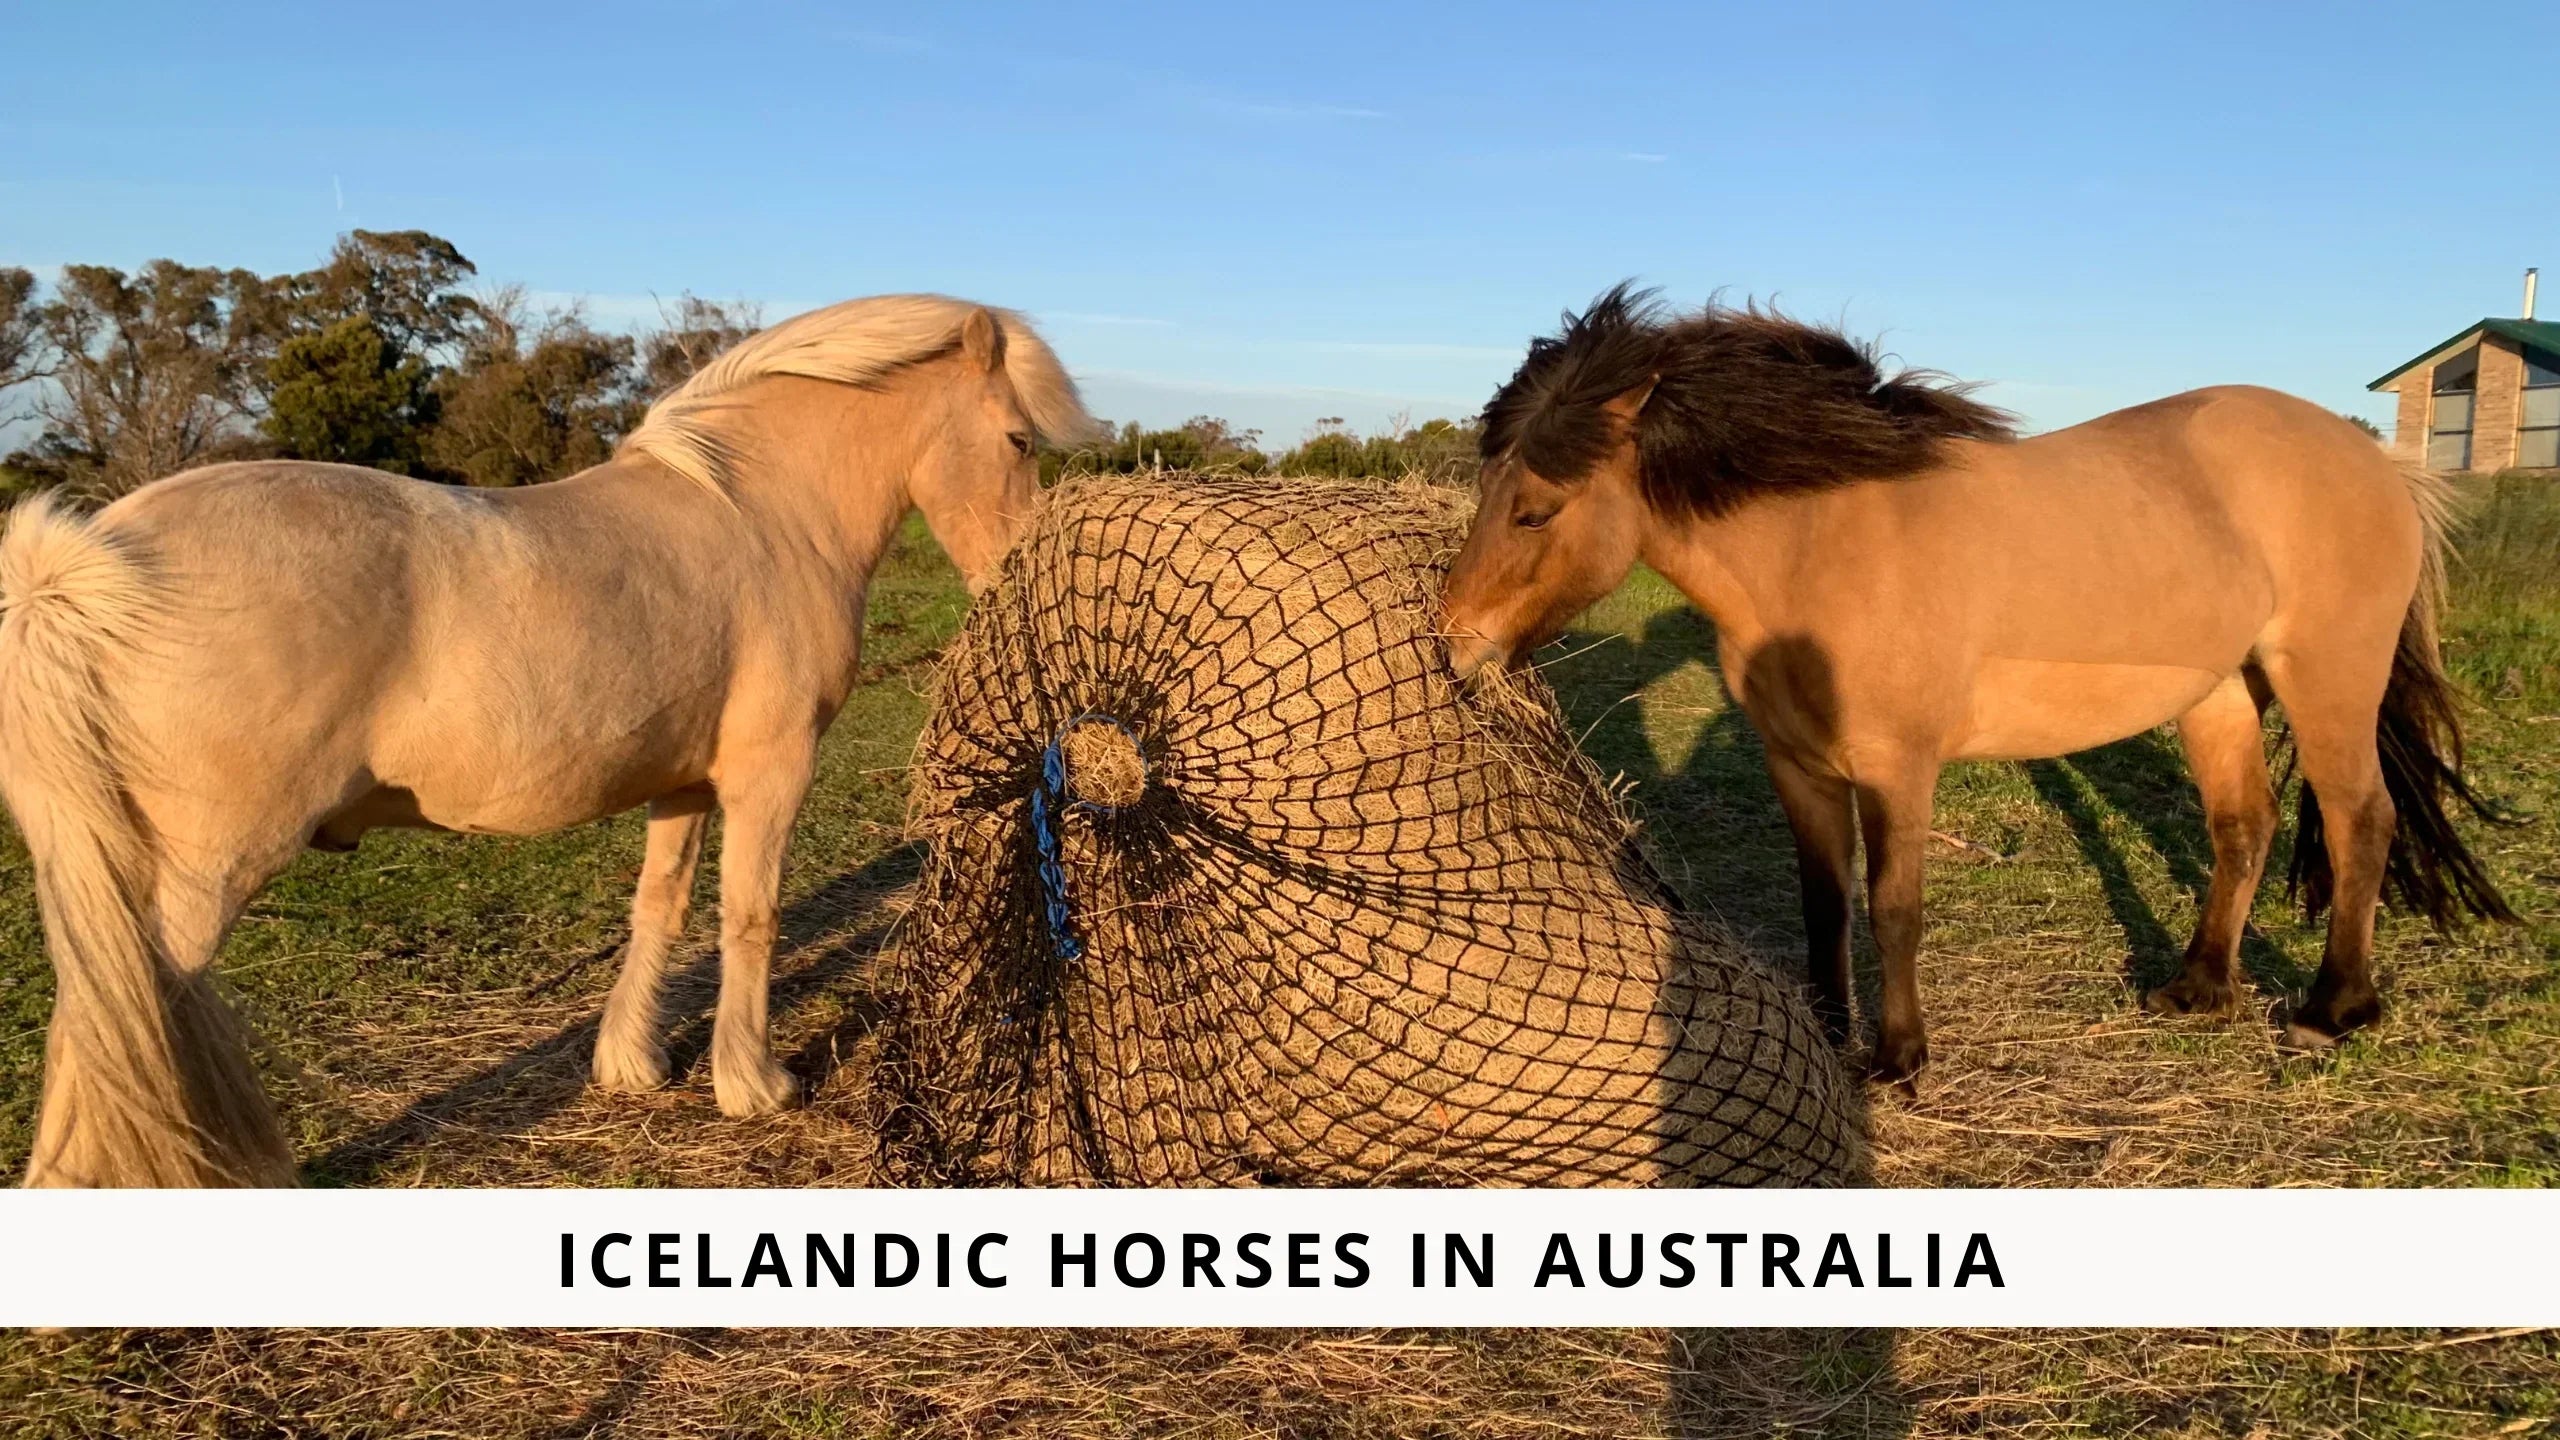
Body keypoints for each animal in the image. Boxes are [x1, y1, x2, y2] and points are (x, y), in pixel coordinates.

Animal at [0, 294, 1096, 1186]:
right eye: (1017, 439)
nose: (1009, 580)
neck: (760, 516)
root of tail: (87, 565)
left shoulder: (684, 784)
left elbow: (660, 908)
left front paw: (632, 1064)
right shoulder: (768, 776)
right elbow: (752, 916)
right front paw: (755, 1083)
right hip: (198, 876)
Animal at [1440, 285, 2514, 1083]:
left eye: (1535, 510)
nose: (1455, 647)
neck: (1822, 548)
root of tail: (2378, 463)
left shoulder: (1897, 770)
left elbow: (1893, 908)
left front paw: (1897, 1058)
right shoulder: (1800, 769)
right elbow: (1824, 902)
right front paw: (1828, 1032)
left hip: (2327, 679)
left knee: (2360, 820)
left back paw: (2334, 1010)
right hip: (2218, 693)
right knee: (2242, 825)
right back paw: (2198, 988)